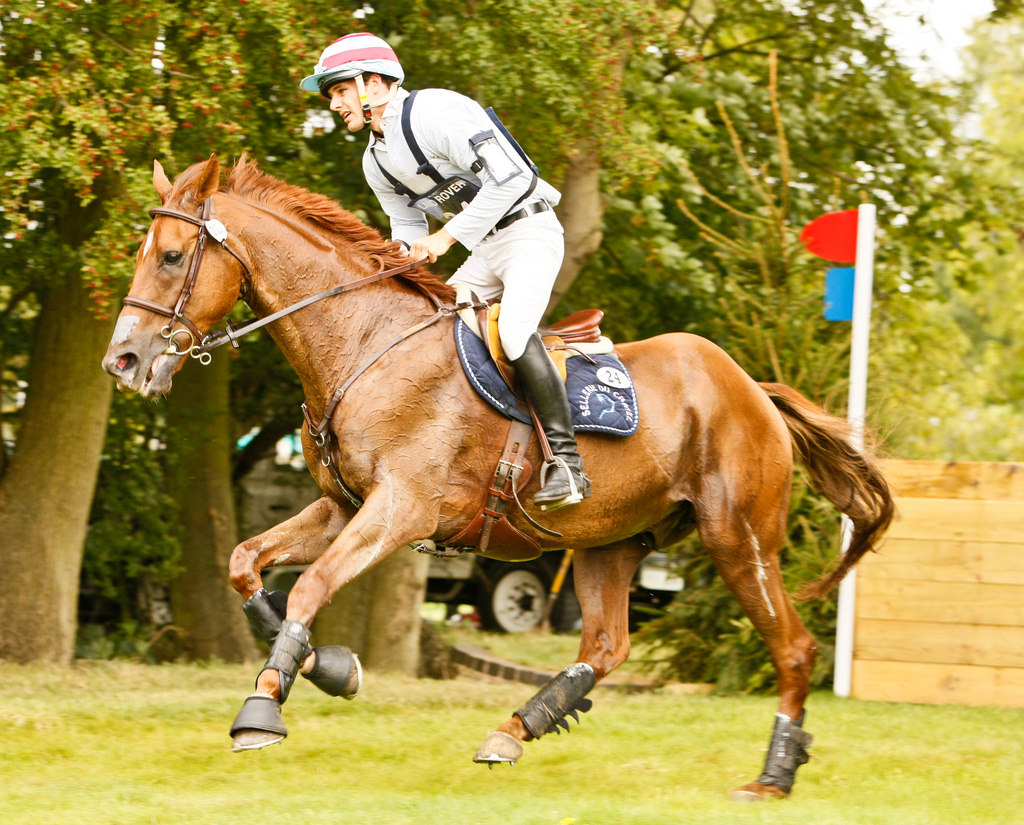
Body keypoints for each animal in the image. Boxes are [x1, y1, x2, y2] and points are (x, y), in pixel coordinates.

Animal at [102, 154, 893, 801]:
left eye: (170, 256)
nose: (124, 361)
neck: (363, 341)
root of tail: (755, 390)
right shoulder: (340, 506)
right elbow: (246, 566)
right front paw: (331, 667)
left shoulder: (400, 509)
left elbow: (311, 584)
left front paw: (264, 706)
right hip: (611, 542)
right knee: (605, 646)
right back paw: (517, 728)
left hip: (738, 537)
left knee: (792, 646)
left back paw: (773, 774)